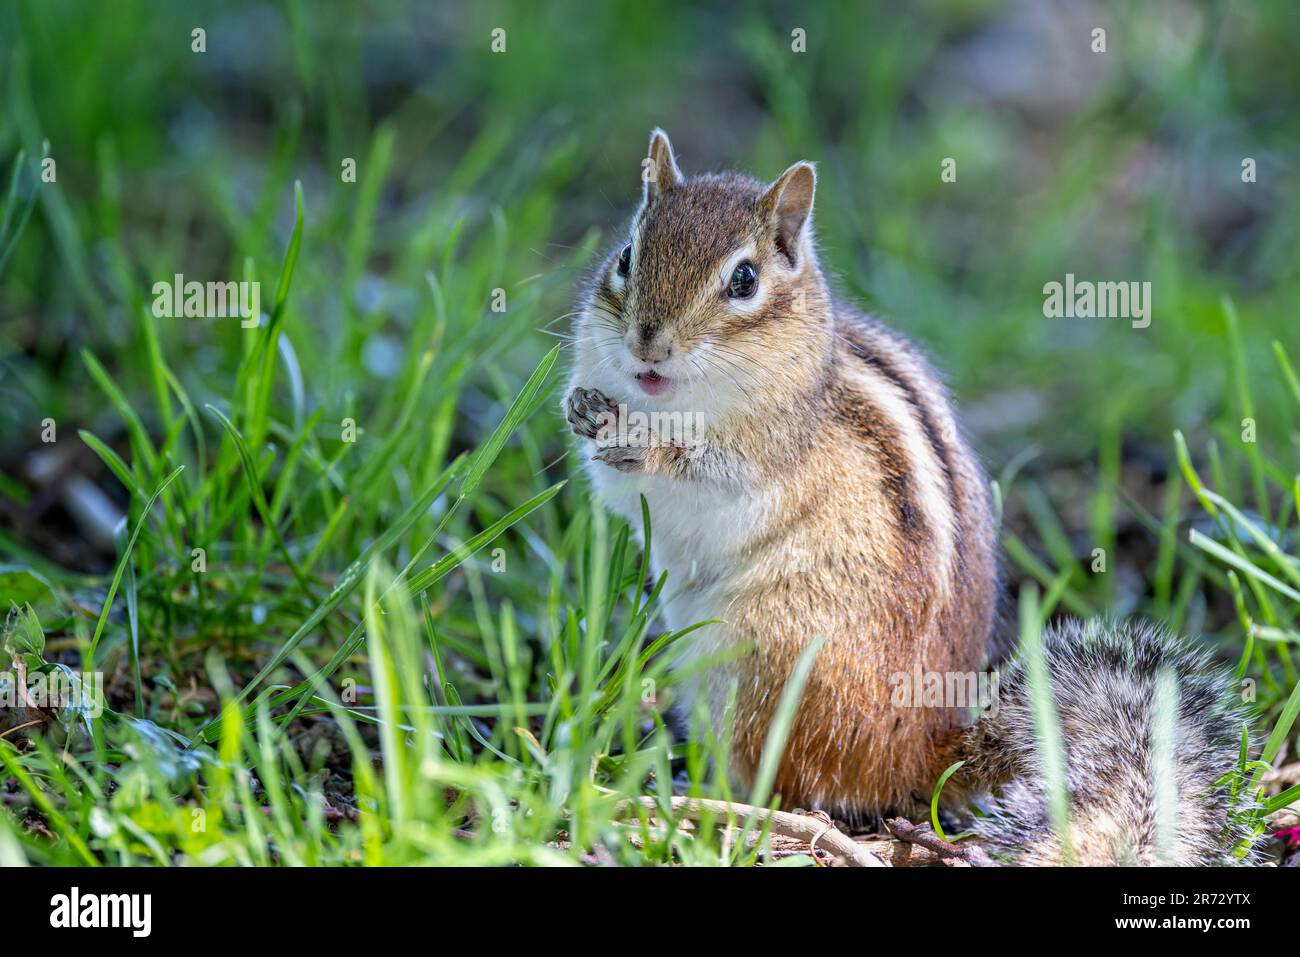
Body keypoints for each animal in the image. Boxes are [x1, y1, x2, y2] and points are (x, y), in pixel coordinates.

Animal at [565, 129, 1258, 865]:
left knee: (781, 777)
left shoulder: (770, 456)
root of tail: (918, 752)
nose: (648, 345)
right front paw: (582, 409)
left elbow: (713, 477)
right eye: (627, 256)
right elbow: (616, 488)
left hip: (759, 658)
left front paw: (653, 445)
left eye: (744, 280)